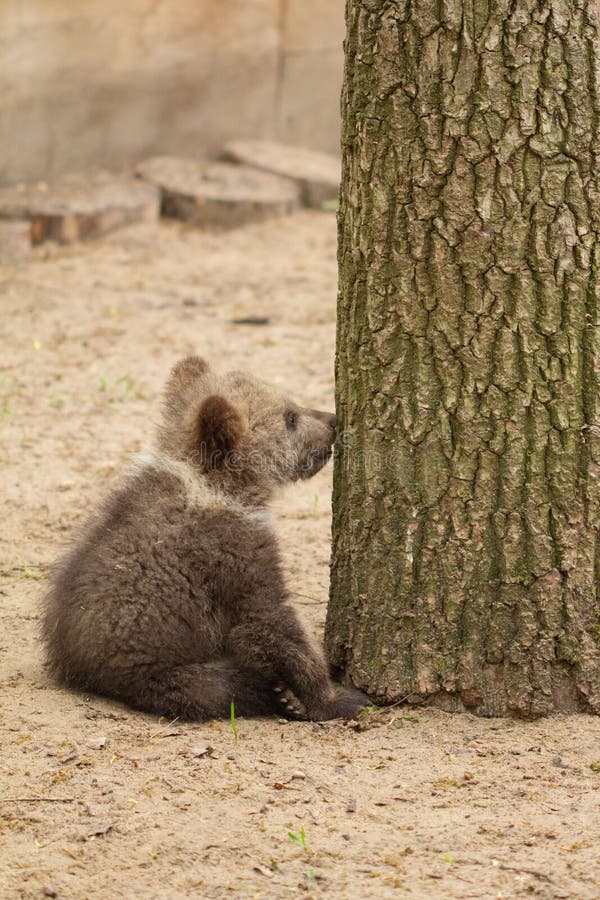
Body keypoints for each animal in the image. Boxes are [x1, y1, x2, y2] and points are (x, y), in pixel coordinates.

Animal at [41, 356, 369, 721]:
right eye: (290, 417)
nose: (333, 420)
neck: (220, 489)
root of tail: (78, 663)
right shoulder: (236, 559)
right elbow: (273, 625)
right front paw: (336, 699)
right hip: (163, 666)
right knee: (217, 689)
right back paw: (274, 694)